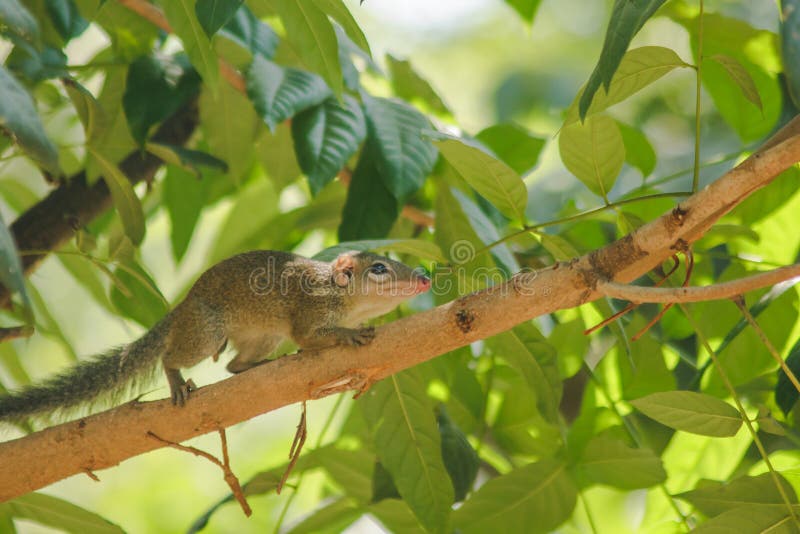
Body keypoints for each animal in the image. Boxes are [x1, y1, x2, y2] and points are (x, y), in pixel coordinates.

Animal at [0, 250, 431, 424]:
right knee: (171, 357)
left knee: (233, 365)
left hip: (262, 337)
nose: (425, 278)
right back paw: (177, 381)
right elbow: (309, 338)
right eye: (378, 269)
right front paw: (348, 334)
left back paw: (259, 365)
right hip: (206, 333)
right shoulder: (309, 312)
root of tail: (182, 309)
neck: (336, 292)